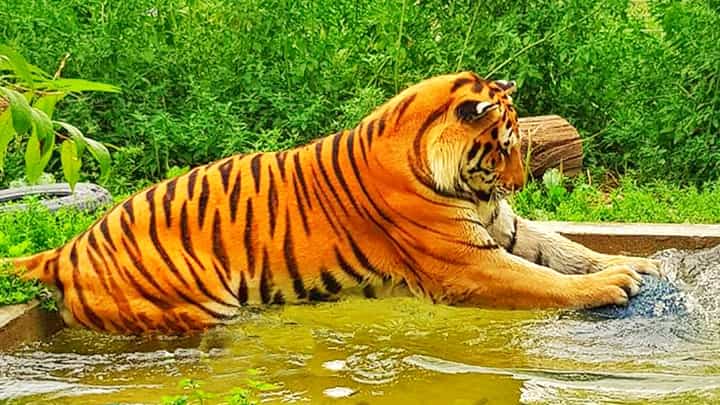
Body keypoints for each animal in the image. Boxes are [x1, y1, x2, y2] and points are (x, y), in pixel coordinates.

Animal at [7, 72, 660, 335]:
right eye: (503, 148)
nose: (520, 182)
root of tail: (61, 251)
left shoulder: (499, 223)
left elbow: (561, 249)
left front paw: (637, 263)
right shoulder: (466, 263)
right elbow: (542, 279)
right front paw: (612, 283)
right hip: (192, 310)